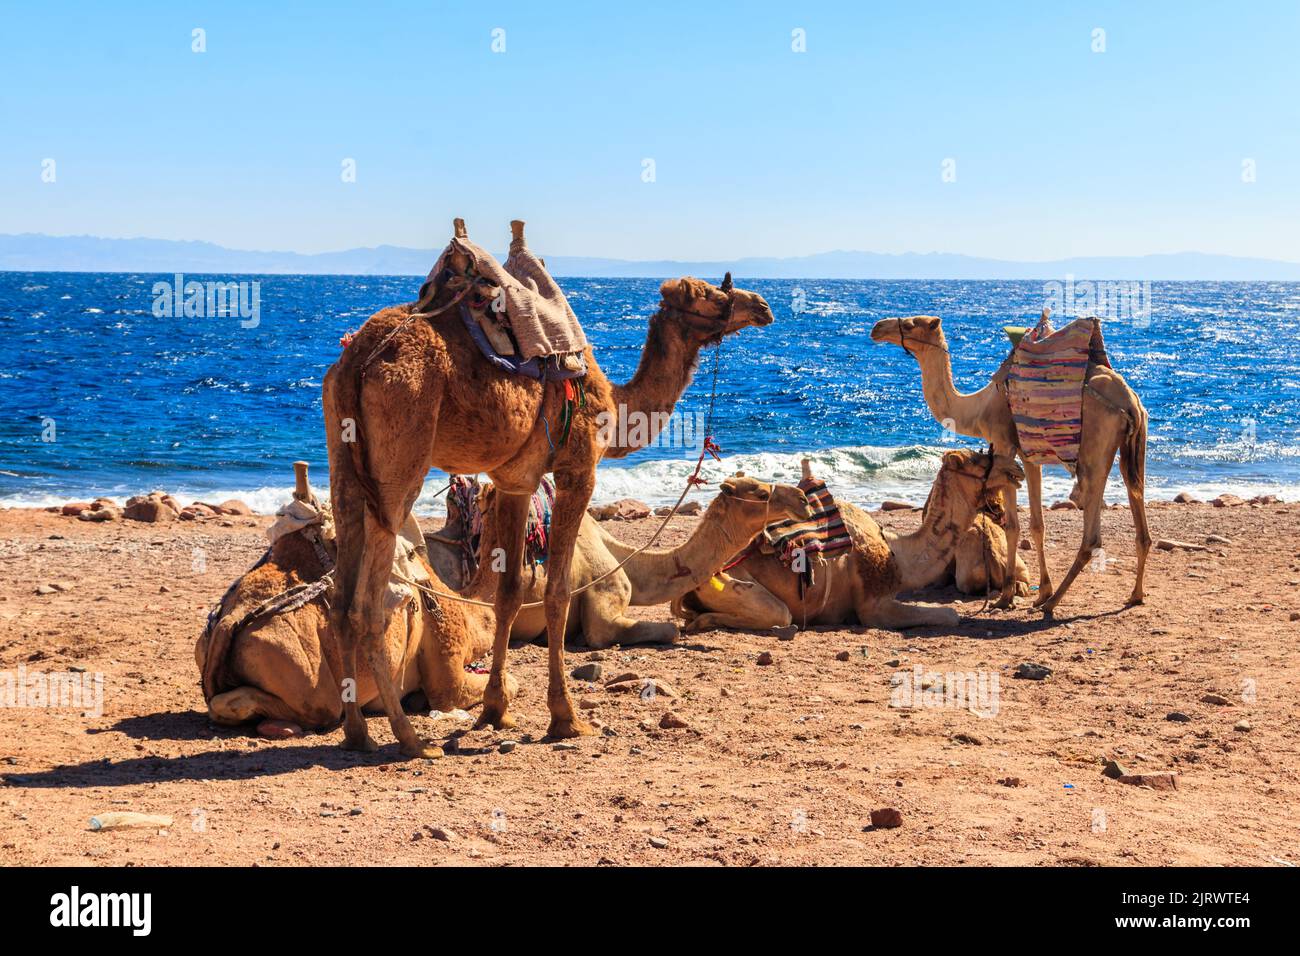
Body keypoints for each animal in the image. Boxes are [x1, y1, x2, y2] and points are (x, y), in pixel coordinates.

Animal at [672, 450, 1025, 632]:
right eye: (978, 459)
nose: (1017, 468)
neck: (898, 553)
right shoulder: (873, 606)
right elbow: (950, 614)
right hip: (730, 582)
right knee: (778, 614)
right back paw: (703, 622)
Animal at [870, 313, 1150, 615]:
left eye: (911, 323)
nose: (877, 328)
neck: (976, 408)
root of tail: (1131, 402)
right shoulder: (1030, 455)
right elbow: (1038, 525)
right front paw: (1040, 591)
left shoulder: (1004, 445)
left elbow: (1012, 526)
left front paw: (1005, 597)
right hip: (1132, 446)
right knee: (1138, 507)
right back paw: (1134, 595)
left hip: (1094, 448)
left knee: (1092, 532)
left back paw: (1053, 603)